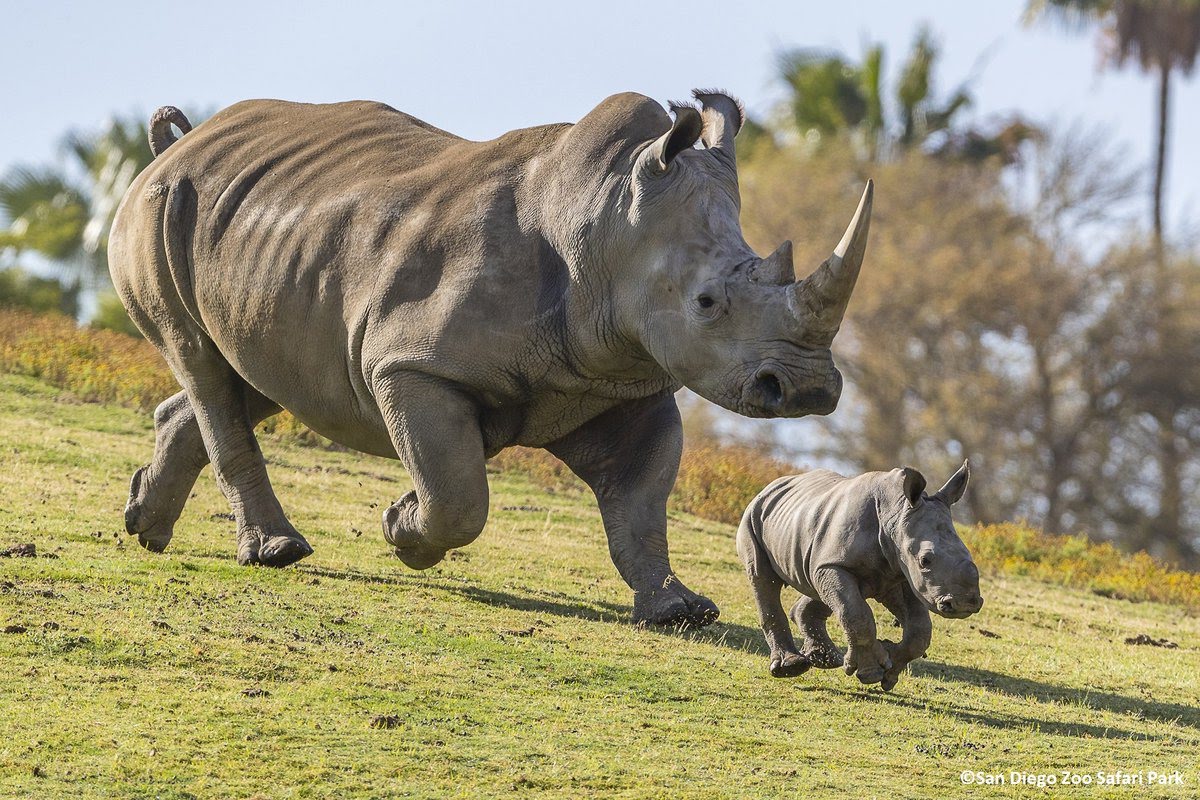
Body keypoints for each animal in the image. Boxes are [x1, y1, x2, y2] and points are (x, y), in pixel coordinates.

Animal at [108, 90, 873, 627]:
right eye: (708, 303)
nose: (807, 389)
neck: (604, 223)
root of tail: (177, 147)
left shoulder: (623, 381)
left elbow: (641, 503)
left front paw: (680, 611)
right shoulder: (411, 365)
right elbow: (459, 497)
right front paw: (402, 528)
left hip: (266, 237)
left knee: (258, 371)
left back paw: (146, 526)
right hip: (159, 208)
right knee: (201, 362)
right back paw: (277, 552)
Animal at [736, 462, 981, 688]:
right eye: (925, 561)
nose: (965, 604)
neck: (896, 513)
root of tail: (772, 485)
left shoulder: (900, 572)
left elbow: (920, 629)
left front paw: (889, 671)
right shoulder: (837, 564)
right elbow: (856, 615)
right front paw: (871, 673)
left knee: (820, 587)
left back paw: (826, 660)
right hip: (753, 516)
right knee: (763, 578)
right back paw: (791, 667)